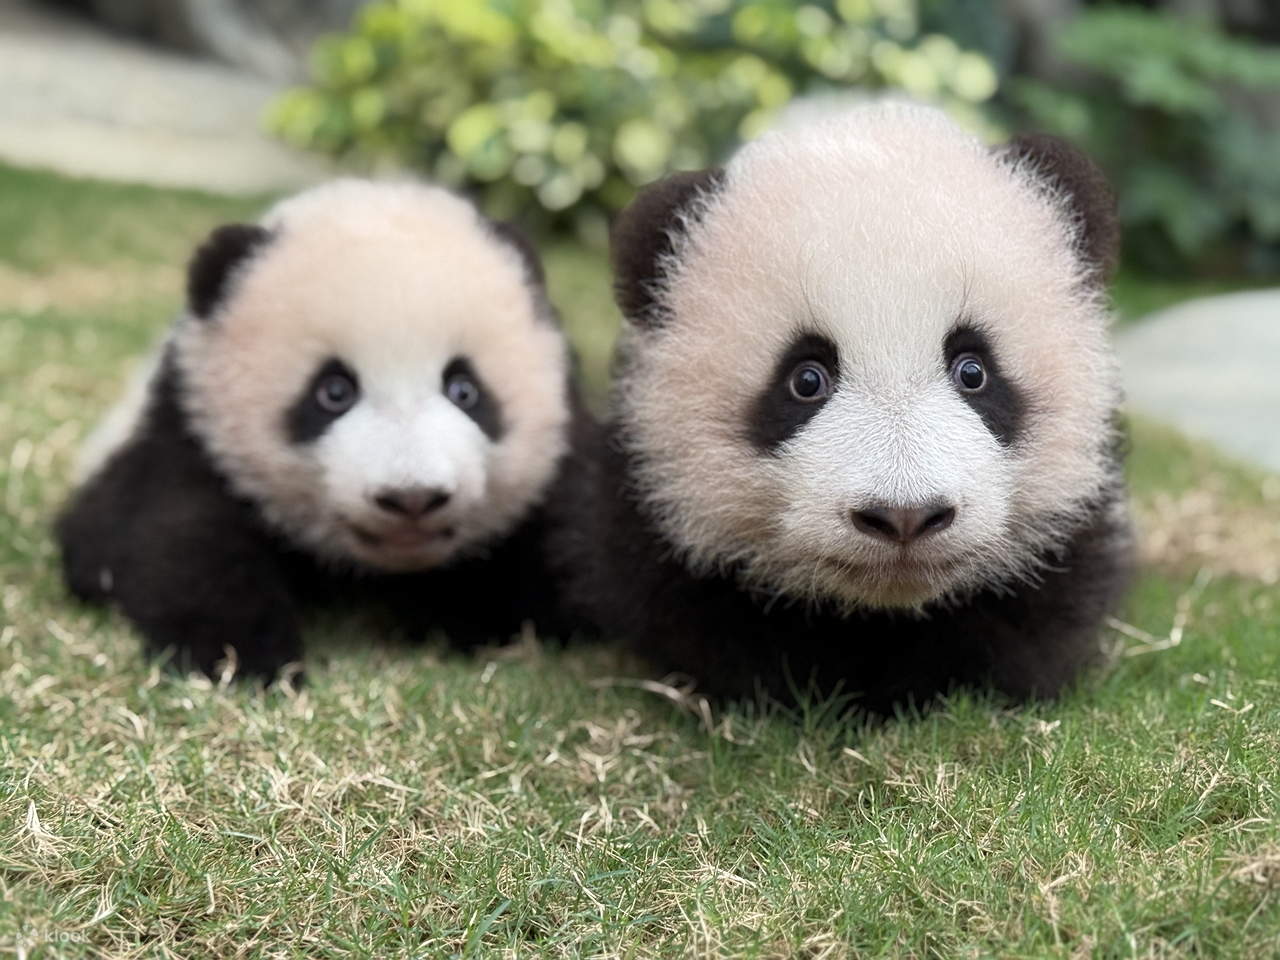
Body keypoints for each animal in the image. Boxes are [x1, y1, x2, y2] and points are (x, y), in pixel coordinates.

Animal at [57, 178, 578, 681]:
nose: (412, 498)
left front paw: (458, 616)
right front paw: (241, 658)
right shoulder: (192, 427)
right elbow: (179, 535)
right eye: (333, 391)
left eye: (464, 390)